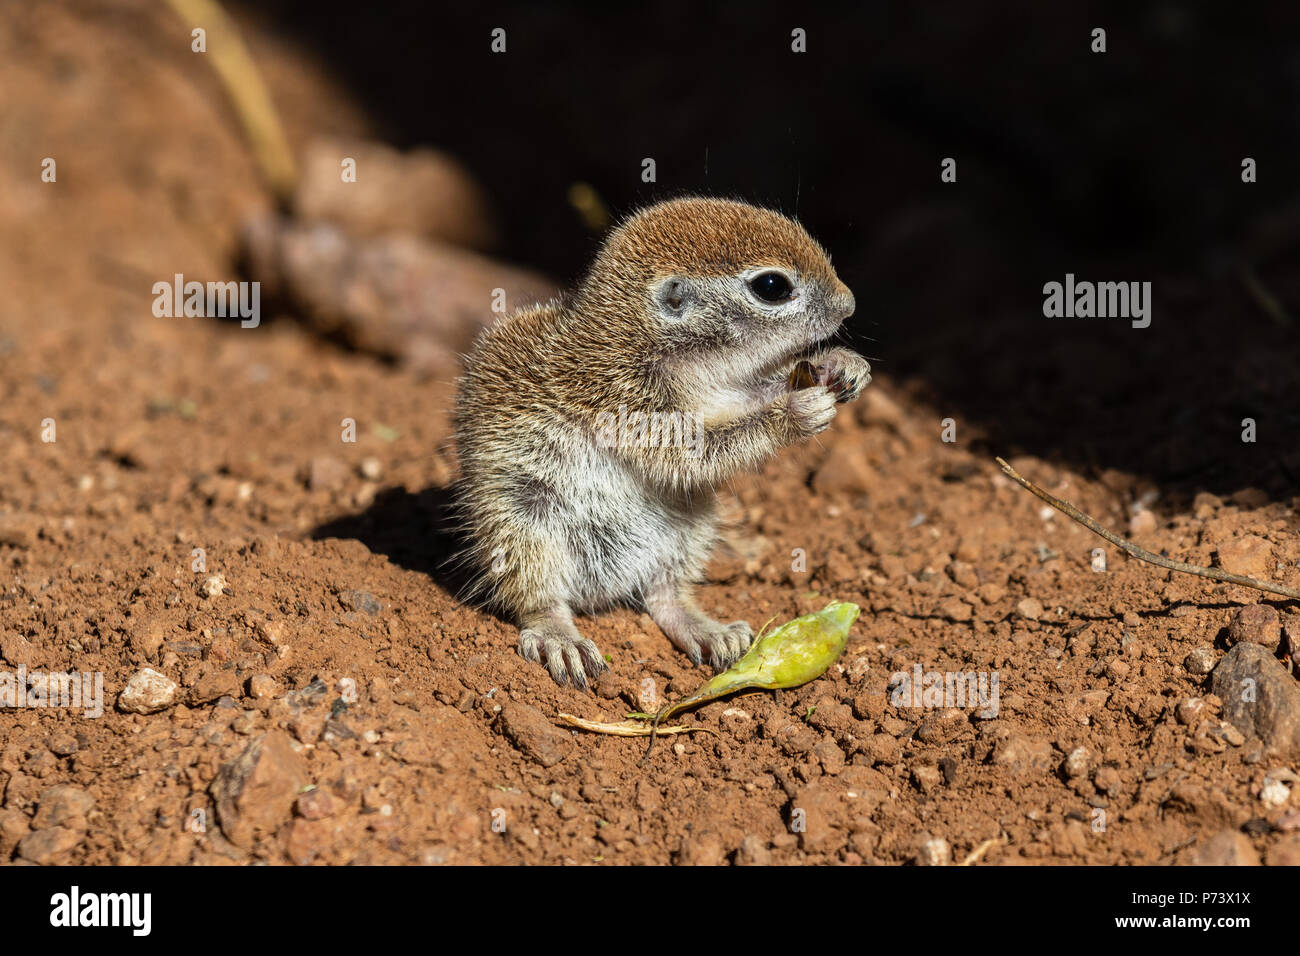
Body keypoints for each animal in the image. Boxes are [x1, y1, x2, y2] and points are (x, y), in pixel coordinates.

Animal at [453, 197, 870, 688]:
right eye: (772, 287)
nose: (849, 304)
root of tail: (603, 592)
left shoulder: (724, 391)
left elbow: (752, 396)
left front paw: (839, 365)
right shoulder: (625, 399)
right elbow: (694, 454)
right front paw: (793, 414)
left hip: (690, 526)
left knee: (664, 594)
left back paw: (703, 629)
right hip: (520, 526)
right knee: (539, 598)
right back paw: (561, 637)